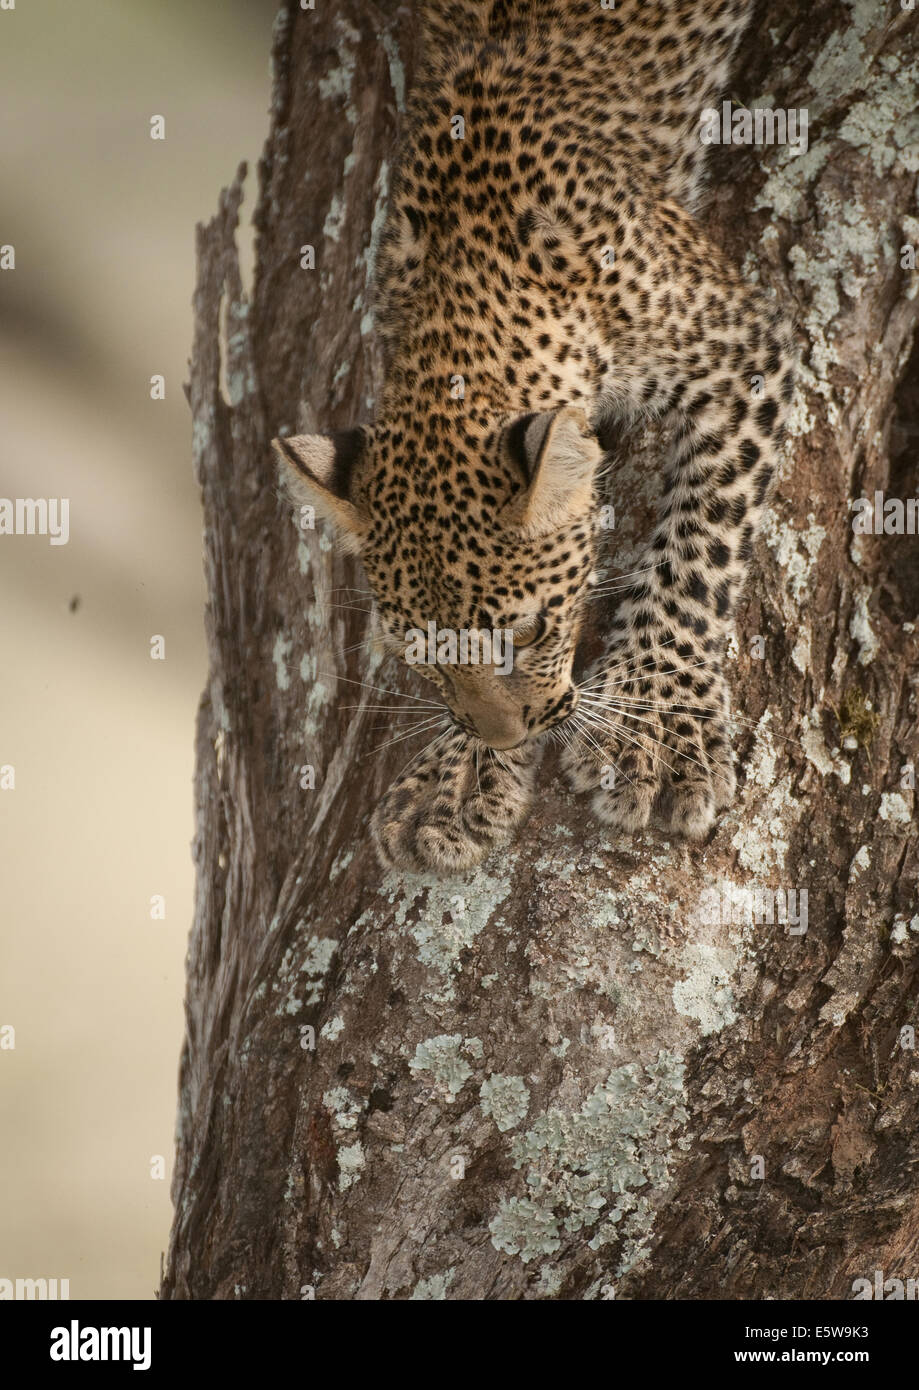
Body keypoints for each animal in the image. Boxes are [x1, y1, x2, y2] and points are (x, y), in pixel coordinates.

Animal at [274, 0, 795, 874]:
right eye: (420, 653)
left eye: (530, 632)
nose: (503, 734)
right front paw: (459, 772)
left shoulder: (744, 348)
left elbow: (701, 549)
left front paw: (655, 717)